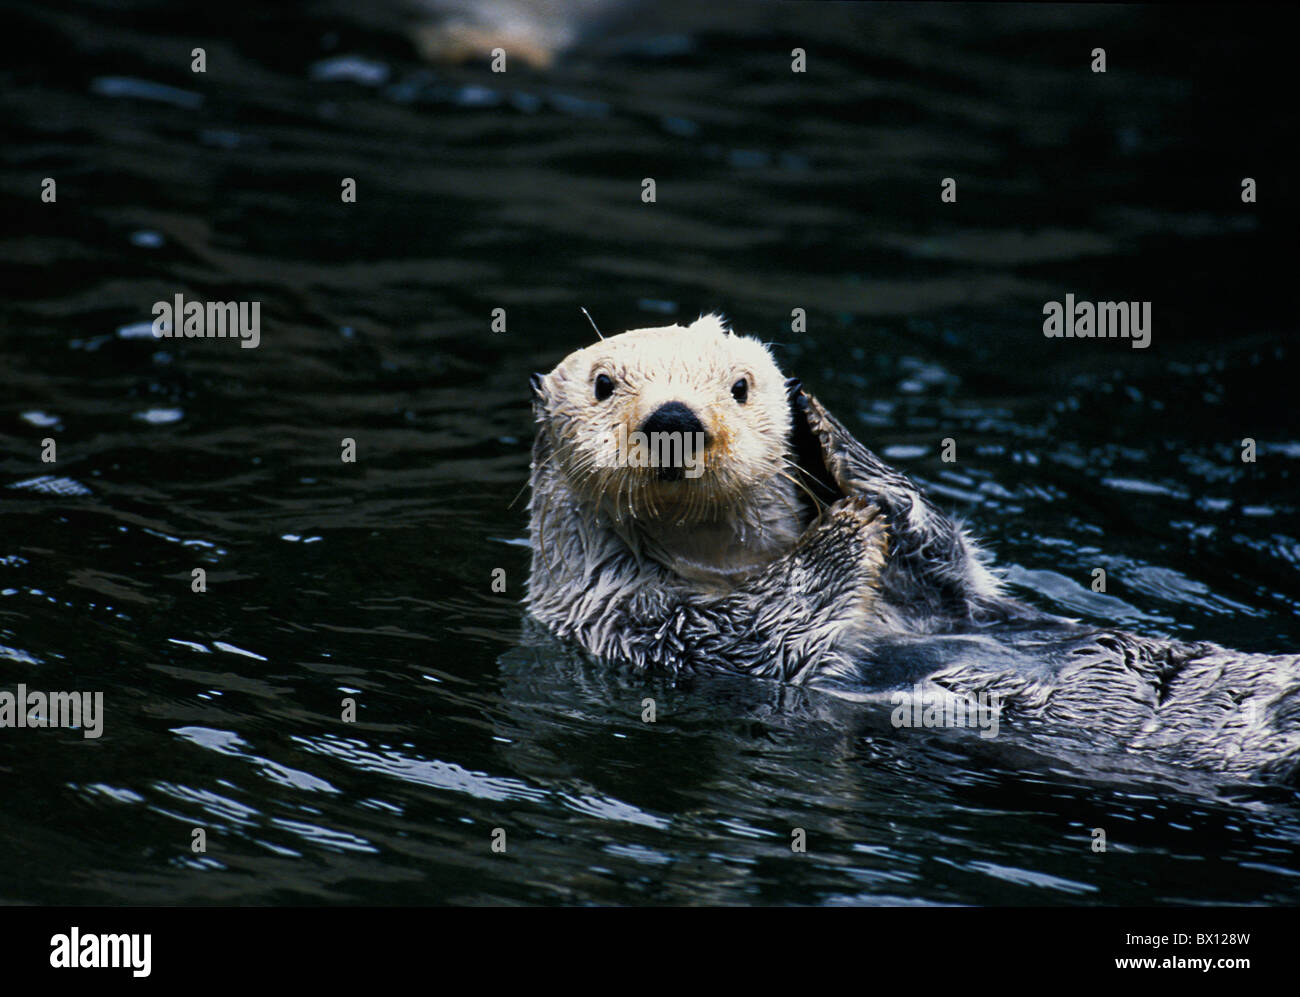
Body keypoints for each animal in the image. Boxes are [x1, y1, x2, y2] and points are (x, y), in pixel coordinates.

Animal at [525, 314, 1300, 781]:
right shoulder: (645, 625)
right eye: (603, 383)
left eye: (740, 386)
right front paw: (843, 533)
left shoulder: (949, 601)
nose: (675, 418)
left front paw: (833, 438)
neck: (723, 562)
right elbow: (774, 634)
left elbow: (948, 560)